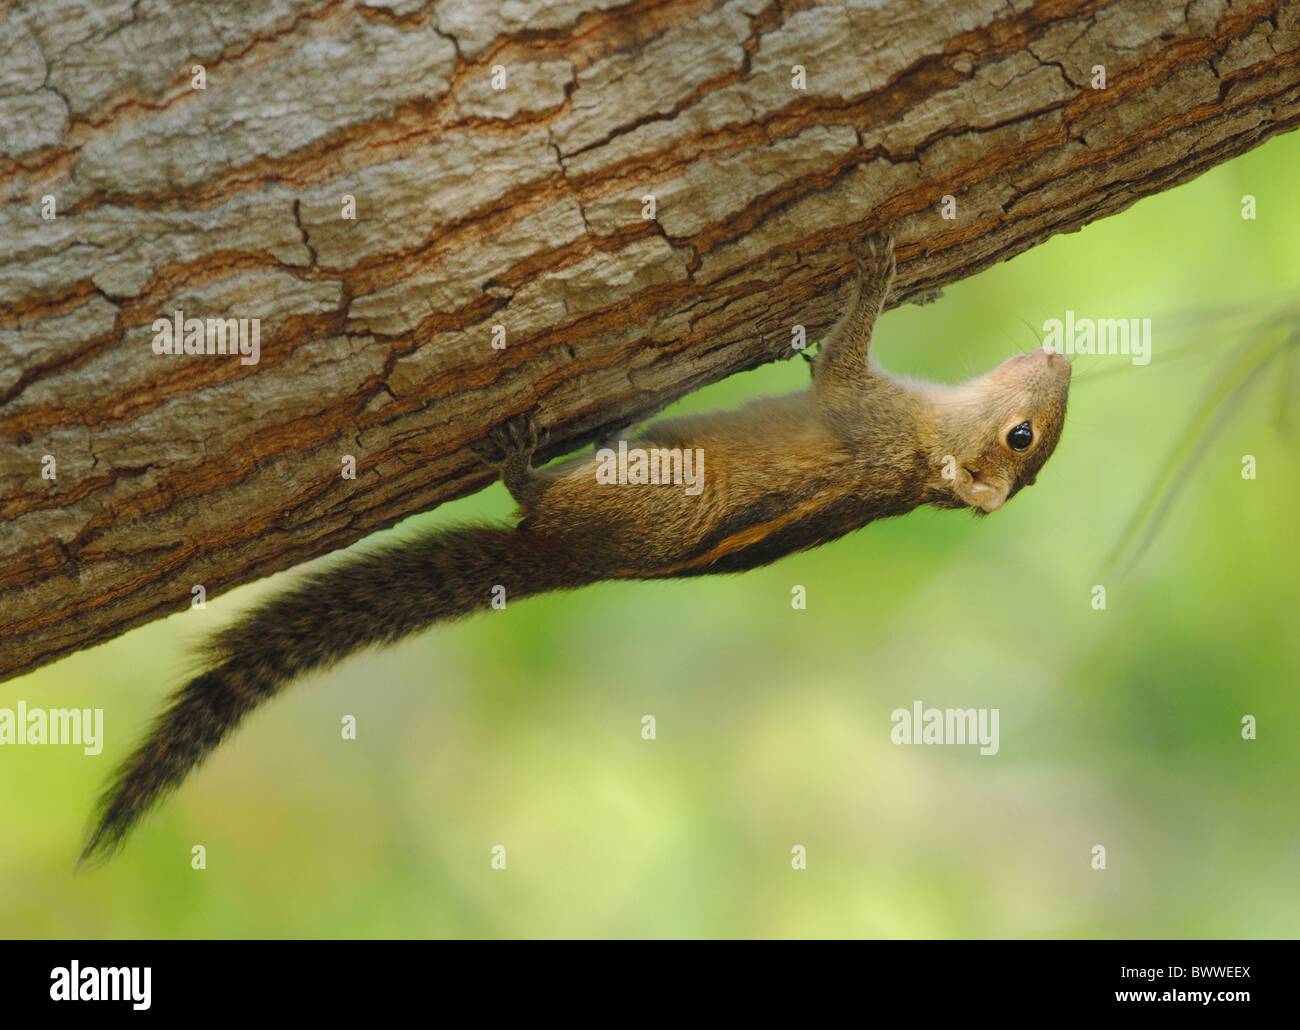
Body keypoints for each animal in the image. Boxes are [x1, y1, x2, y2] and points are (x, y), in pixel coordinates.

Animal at [80, 233, 1070, 863]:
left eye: (1020, 439)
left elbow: (840, 352)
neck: (923, 450)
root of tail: (556, 563)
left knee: (535, 494)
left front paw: (876, 267)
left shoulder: (861, 402)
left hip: (639, 499)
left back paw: (523, 465)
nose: (1061, 355)